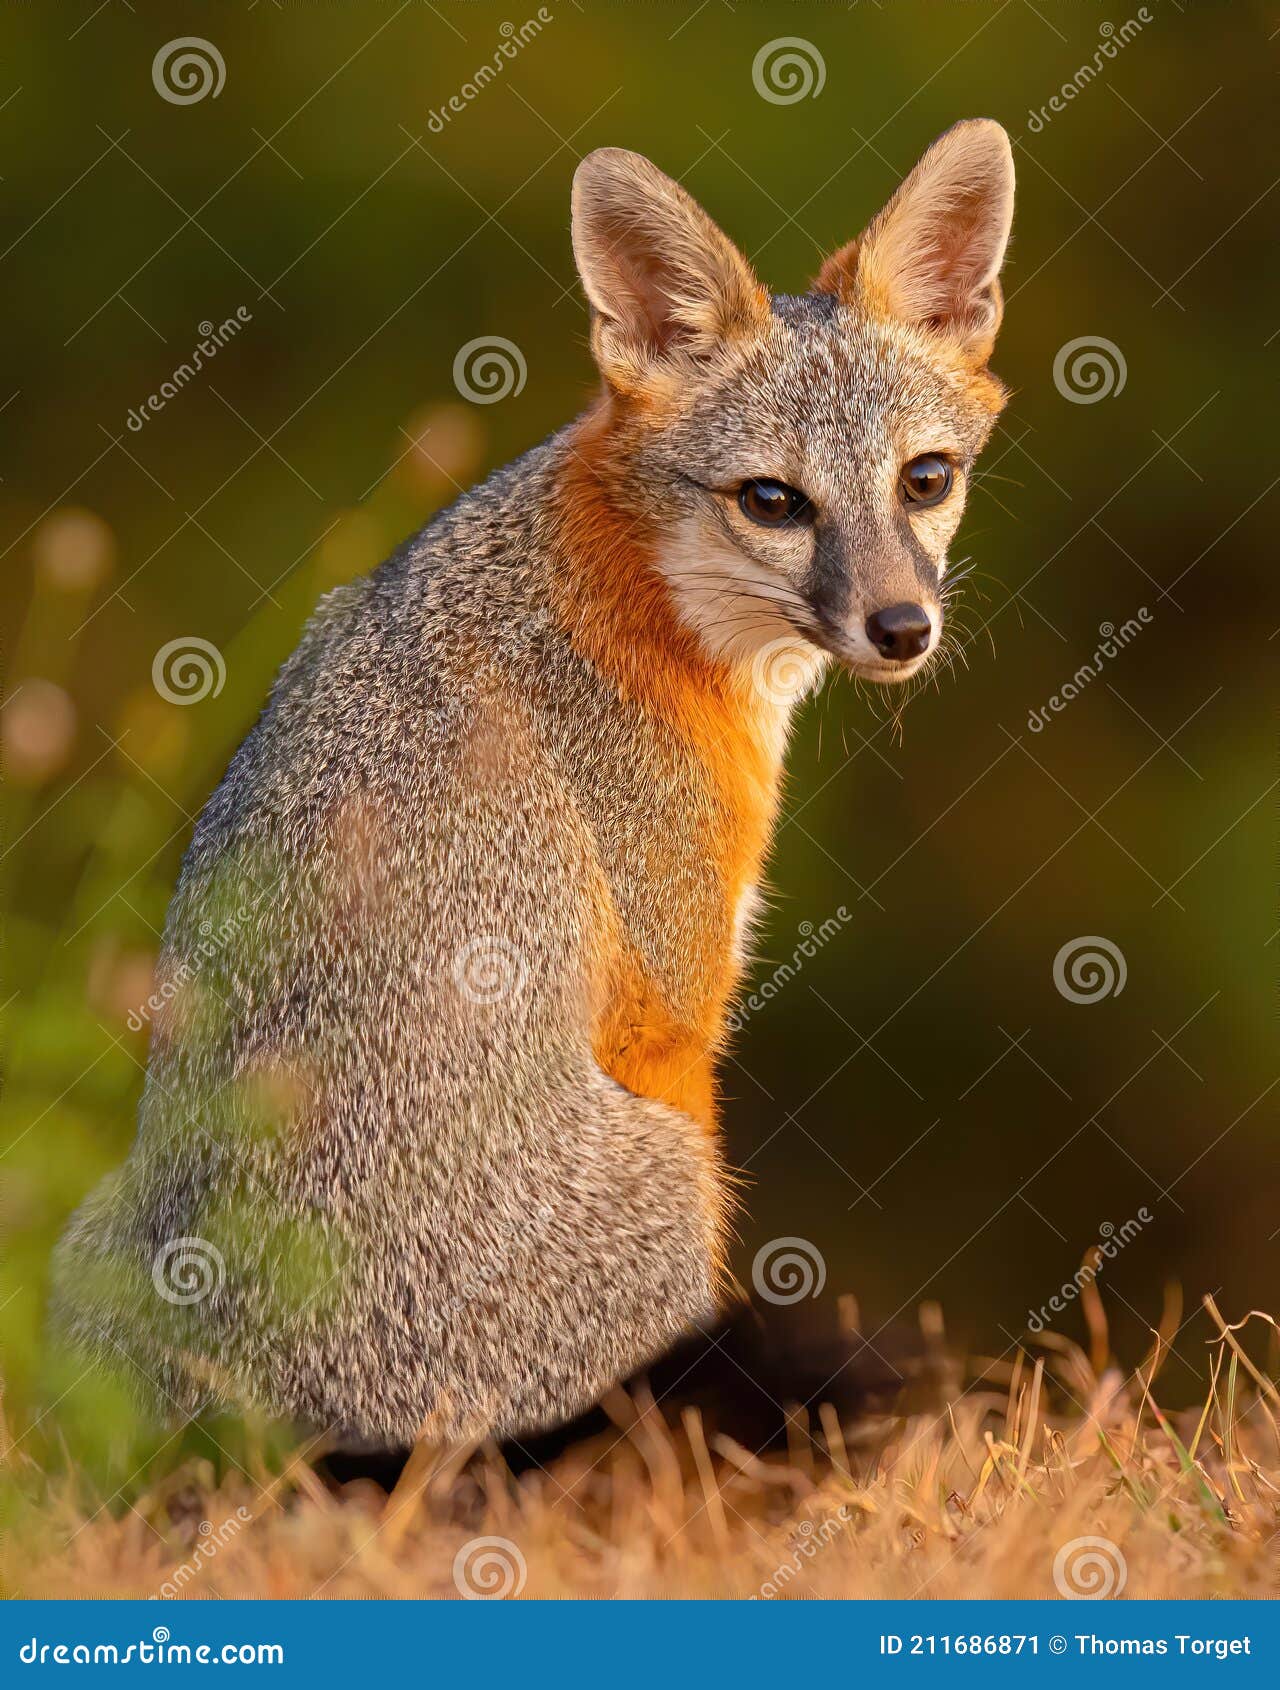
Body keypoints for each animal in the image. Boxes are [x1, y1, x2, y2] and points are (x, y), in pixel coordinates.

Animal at [51, 120, 1015, 1457]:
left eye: (924, 480)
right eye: (772, 500)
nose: (900, 628)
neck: (632, 588)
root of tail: (266, 1434)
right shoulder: (668, 1018)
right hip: (666, 1166)